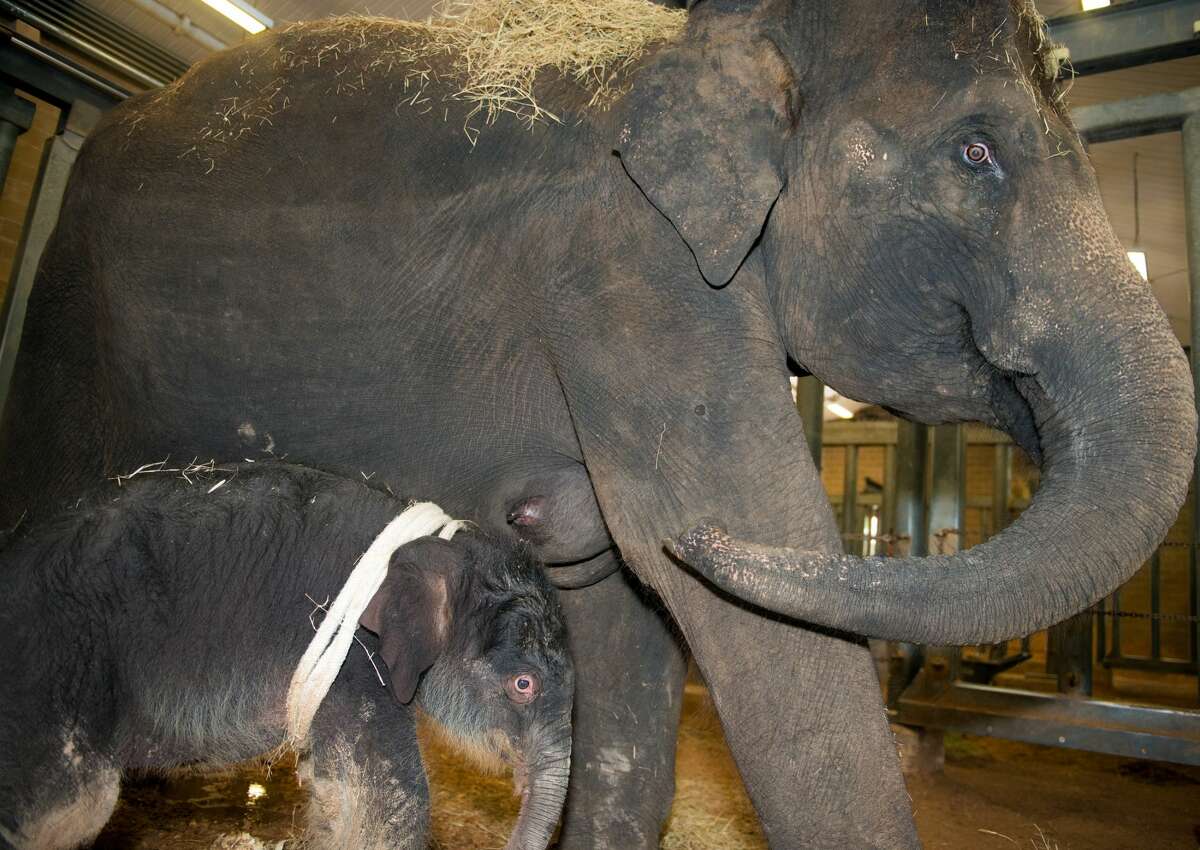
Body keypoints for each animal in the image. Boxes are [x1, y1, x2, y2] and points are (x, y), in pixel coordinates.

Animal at [0, 462, 573, 850]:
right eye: (524, 685)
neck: (439, 546)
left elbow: (336, 790)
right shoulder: (358, 665)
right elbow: (395, 799)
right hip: (55, 673)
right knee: (76, 802)